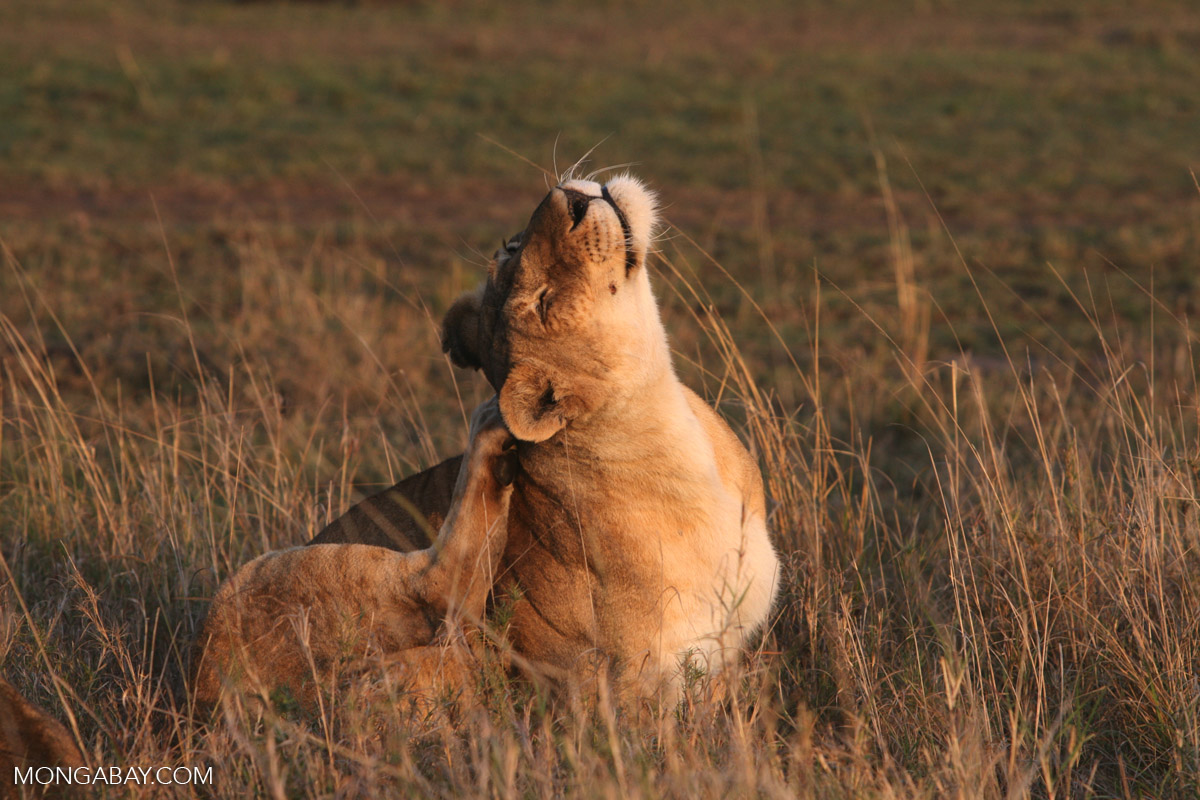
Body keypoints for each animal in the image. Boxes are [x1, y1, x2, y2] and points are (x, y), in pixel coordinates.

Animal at [191, 174, 779, 708]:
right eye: (544, 303)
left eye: (510, 248)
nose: (573, 198)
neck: (661, 414)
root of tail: (203, 703)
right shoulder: (623, 692)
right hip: (281, 588)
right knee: (442, 582)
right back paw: (489, 429)